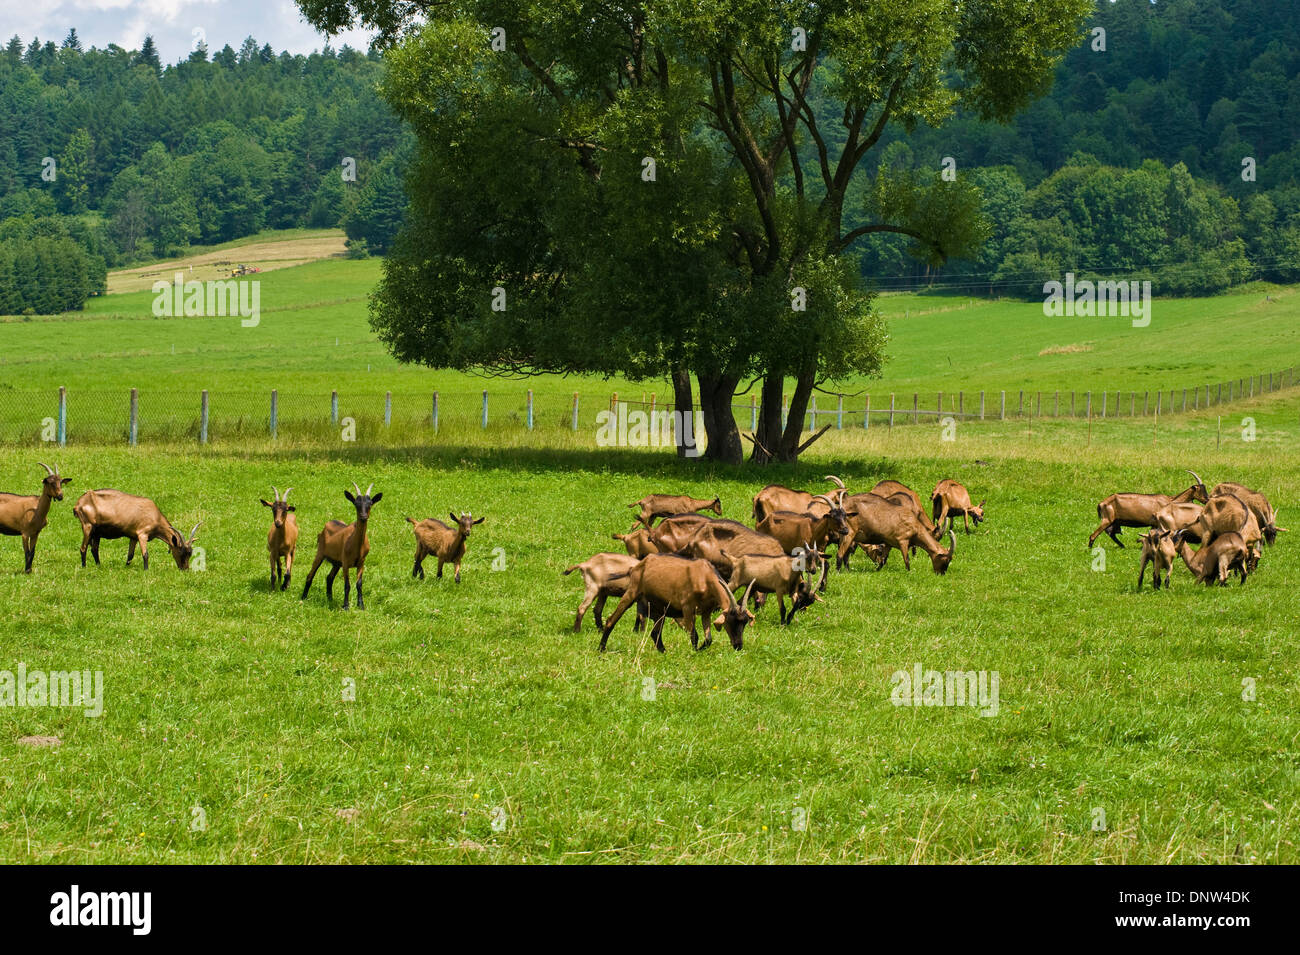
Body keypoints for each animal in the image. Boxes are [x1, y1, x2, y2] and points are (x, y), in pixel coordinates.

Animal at [599, 554, 756, 653]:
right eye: (730, 621)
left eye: (744, 622)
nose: (738, 645)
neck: (704, 576)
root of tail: (637, 567)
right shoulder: (687, 608)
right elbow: (694, 635)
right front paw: (694, 652)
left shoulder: (706, 612)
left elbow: (708, 639)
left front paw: (700, 649)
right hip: (632, 592)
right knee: (611, 619)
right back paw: (601, 648)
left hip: (660, 608)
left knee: (655, 633)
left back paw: (664, 652)